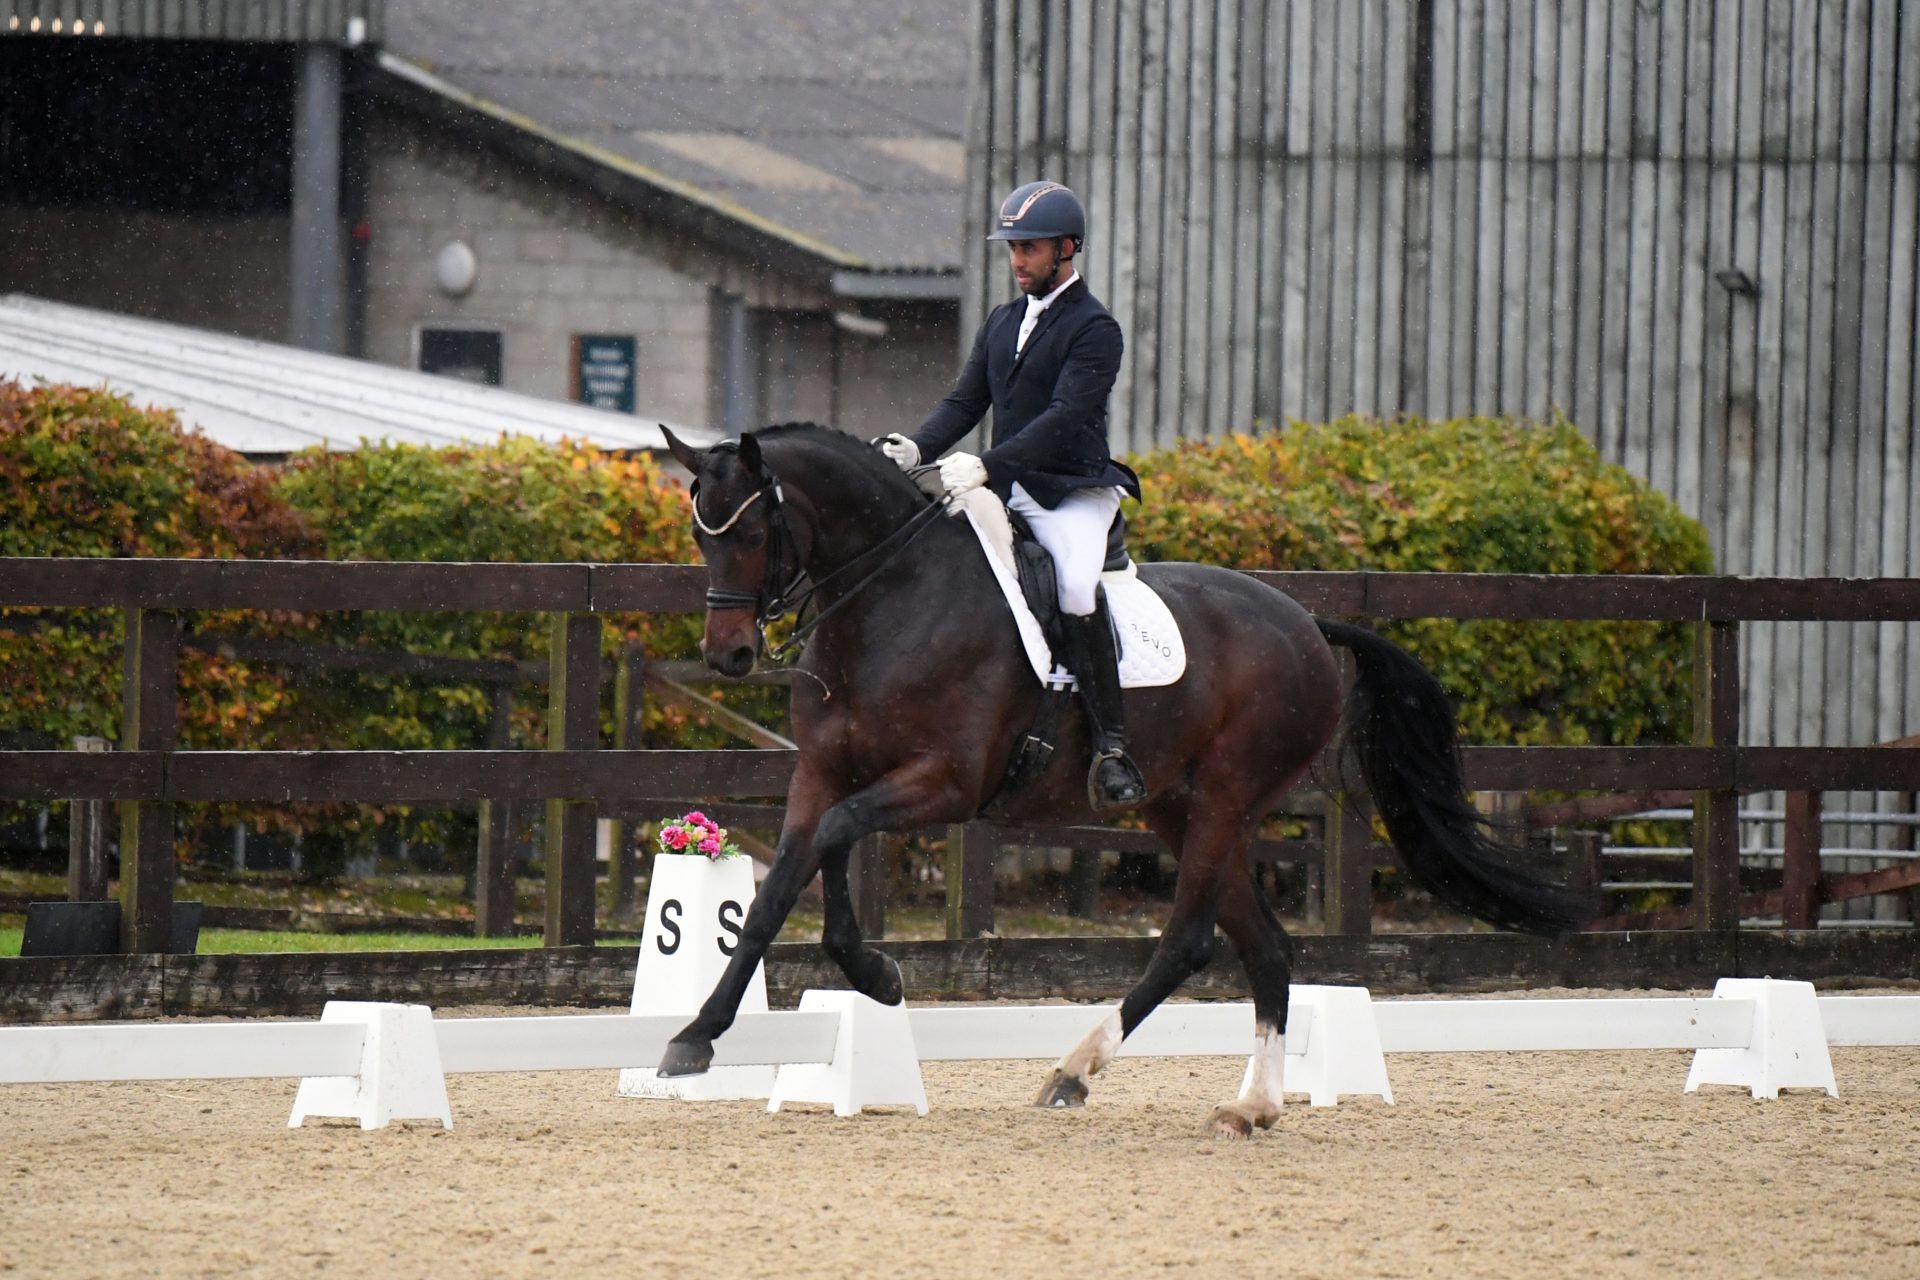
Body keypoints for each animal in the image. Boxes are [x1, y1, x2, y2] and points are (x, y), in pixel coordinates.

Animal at [654, 422, 1587, 1137]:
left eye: (750, 534)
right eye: (700, 535)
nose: (728, 656)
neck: (891, 600)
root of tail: (1308, 624)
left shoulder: (945, 782)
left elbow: (833, 840)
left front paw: (870, 975)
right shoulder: (822, 772)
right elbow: (789, 877)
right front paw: (700, 1035)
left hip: (1224, 799)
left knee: (1190, 940)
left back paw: (1074, 1070)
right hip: (1181, 806)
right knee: (1264, 947)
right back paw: (1252, 1107)